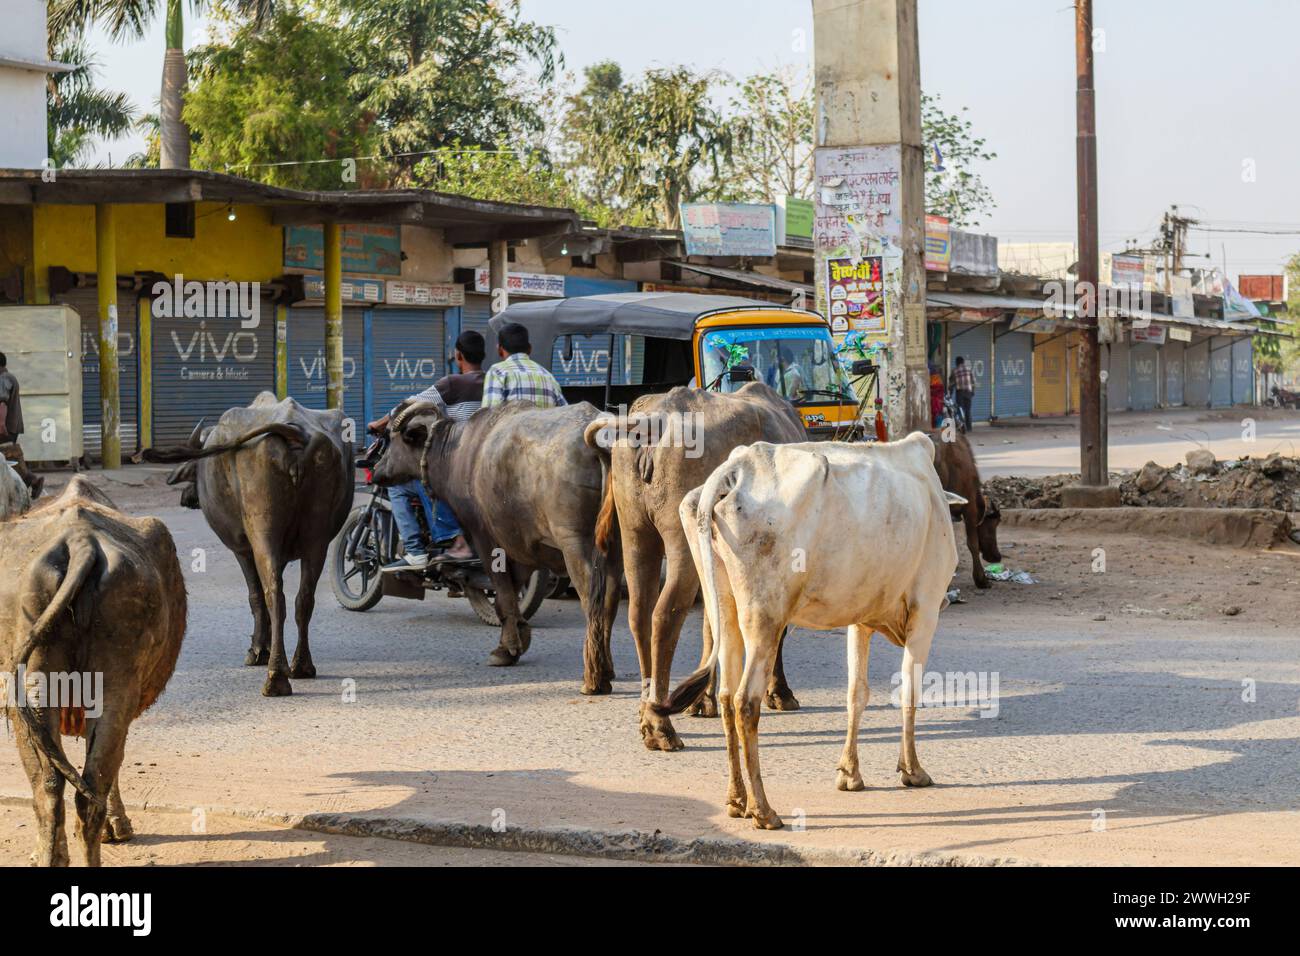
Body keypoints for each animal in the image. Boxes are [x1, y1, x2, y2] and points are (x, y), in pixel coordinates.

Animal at [655, 434, 961, 832]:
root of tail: (737, 467)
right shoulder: (925, 610)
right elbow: (910, 689)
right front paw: (912, 770)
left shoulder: (859, 619)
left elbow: (856, 694)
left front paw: (850, 773)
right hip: (765, 616)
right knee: (745, 701)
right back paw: (763, 810)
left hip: (723, 603)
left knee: (724, 695)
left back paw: (737, 800)